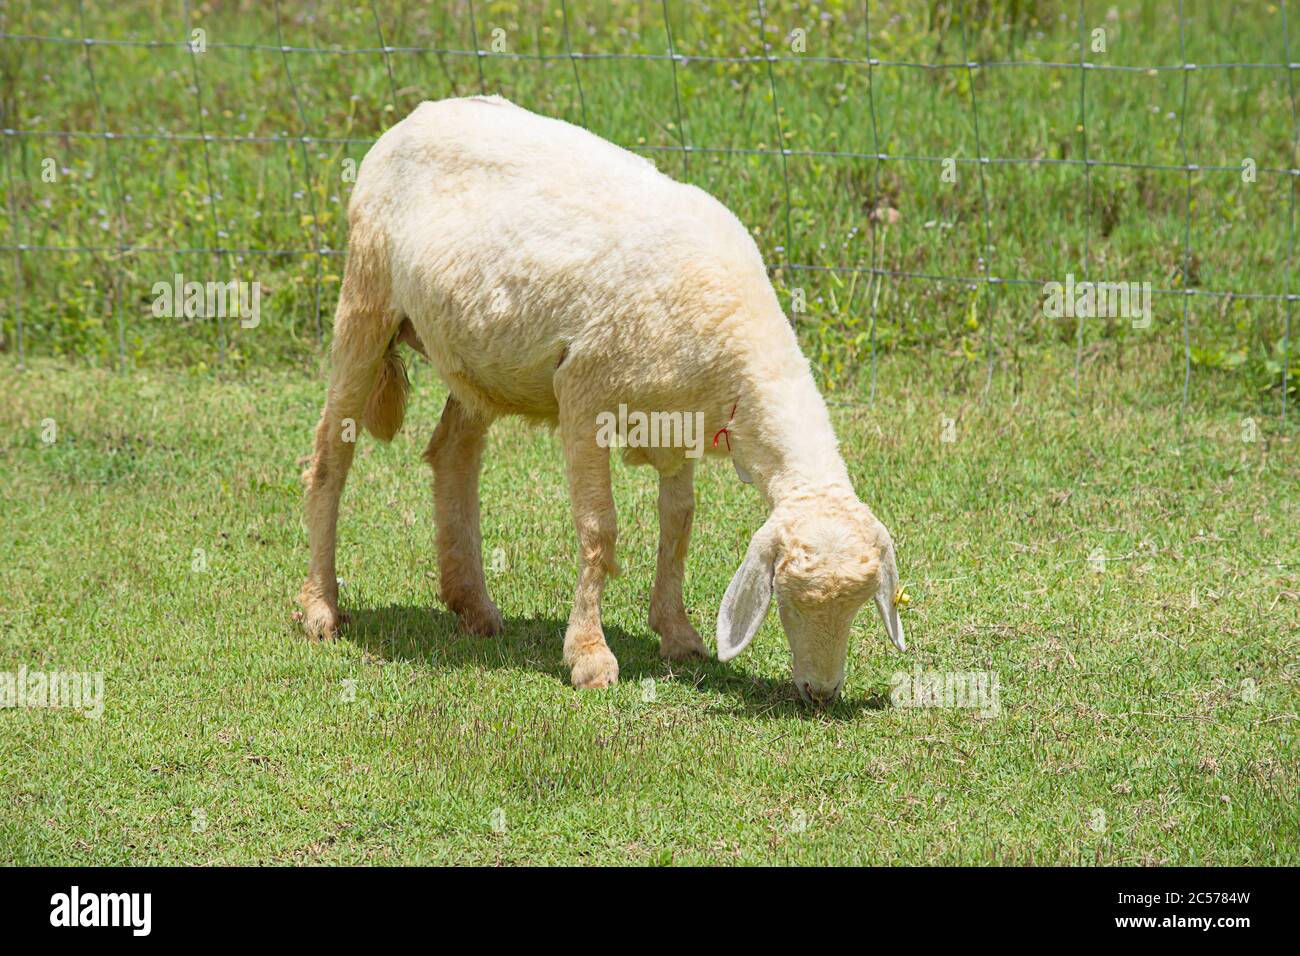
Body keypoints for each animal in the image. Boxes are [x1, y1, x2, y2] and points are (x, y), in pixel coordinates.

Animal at [297, 95, 906, 704]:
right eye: (785, 597)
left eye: (860, 606)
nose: (821, 693)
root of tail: (417, 113)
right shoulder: (583, 393)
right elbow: (599, 528)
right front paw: (590, 655)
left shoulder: (678, 424)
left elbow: (679, 522)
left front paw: (678, 633)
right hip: (366, 294)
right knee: (331, 454)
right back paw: (321, 607)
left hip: (471, 353)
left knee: (453, 454)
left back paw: (473, 605)